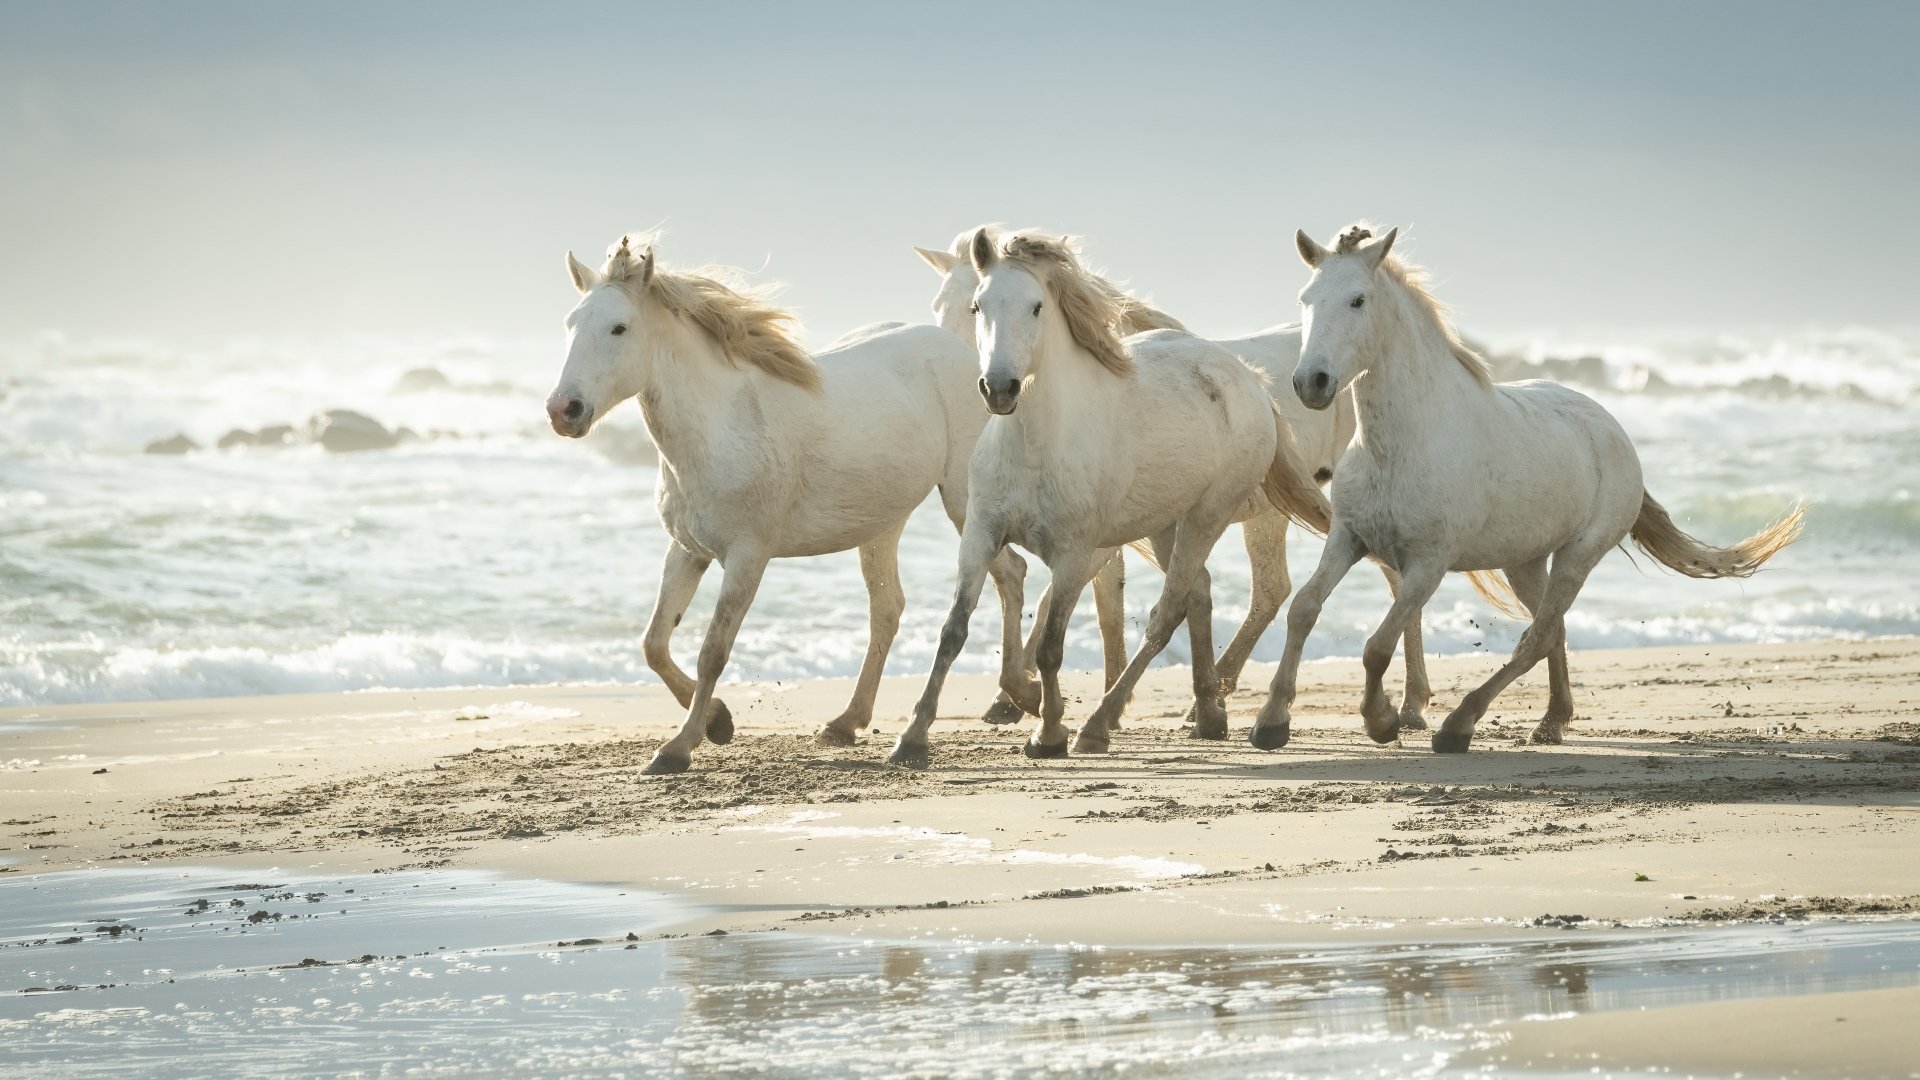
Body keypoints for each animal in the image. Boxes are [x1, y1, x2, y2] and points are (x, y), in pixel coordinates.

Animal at [546, 235, 1037, 775]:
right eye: (570, 324)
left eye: (619, 327)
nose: (563, 410)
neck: (719, 428)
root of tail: (973, 362)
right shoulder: (687, 551)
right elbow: (654, 643)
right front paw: (718, 721)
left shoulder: (747, 557)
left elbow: (712, 650)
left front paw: (679, 746)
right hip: (881, 525)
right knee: (889, 609)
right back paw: (848, 722)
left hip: (964, 504)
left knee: (1009, 575)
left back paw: (1016, 697)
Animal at [914, 227, 1437, 731]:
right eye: (970, 305)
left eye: (1035, 306)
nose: (996, 387)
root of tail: (1254, 381)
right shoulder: (1030, 533)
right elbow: (1088, 610)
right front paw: (1030, 700)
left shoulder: (1087, 543)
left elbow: (1057, 616)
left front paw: (1037, 706)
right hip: (1209, 520)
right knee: (1239, 590)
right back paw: (1205, 706)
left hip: (1248, 514)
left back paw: (1407, 703)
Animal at [1250, 223, 1804, 754]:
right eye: (1305, 299)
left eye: (1358, 300)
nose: (1311, 383)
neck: (1408, 441)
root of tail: (1613, 430)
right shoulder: (1349, 538)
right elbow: (1304, 609)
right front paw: (1271, 723)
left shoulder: (1428, 564)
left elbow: (1378, 645)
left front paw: (1382, 722)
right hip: (1525, 562)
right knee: (1551, 630)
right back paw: (1551, 723)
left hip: (1578, 556)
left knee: (1535, 637)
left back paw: (1459, 727)